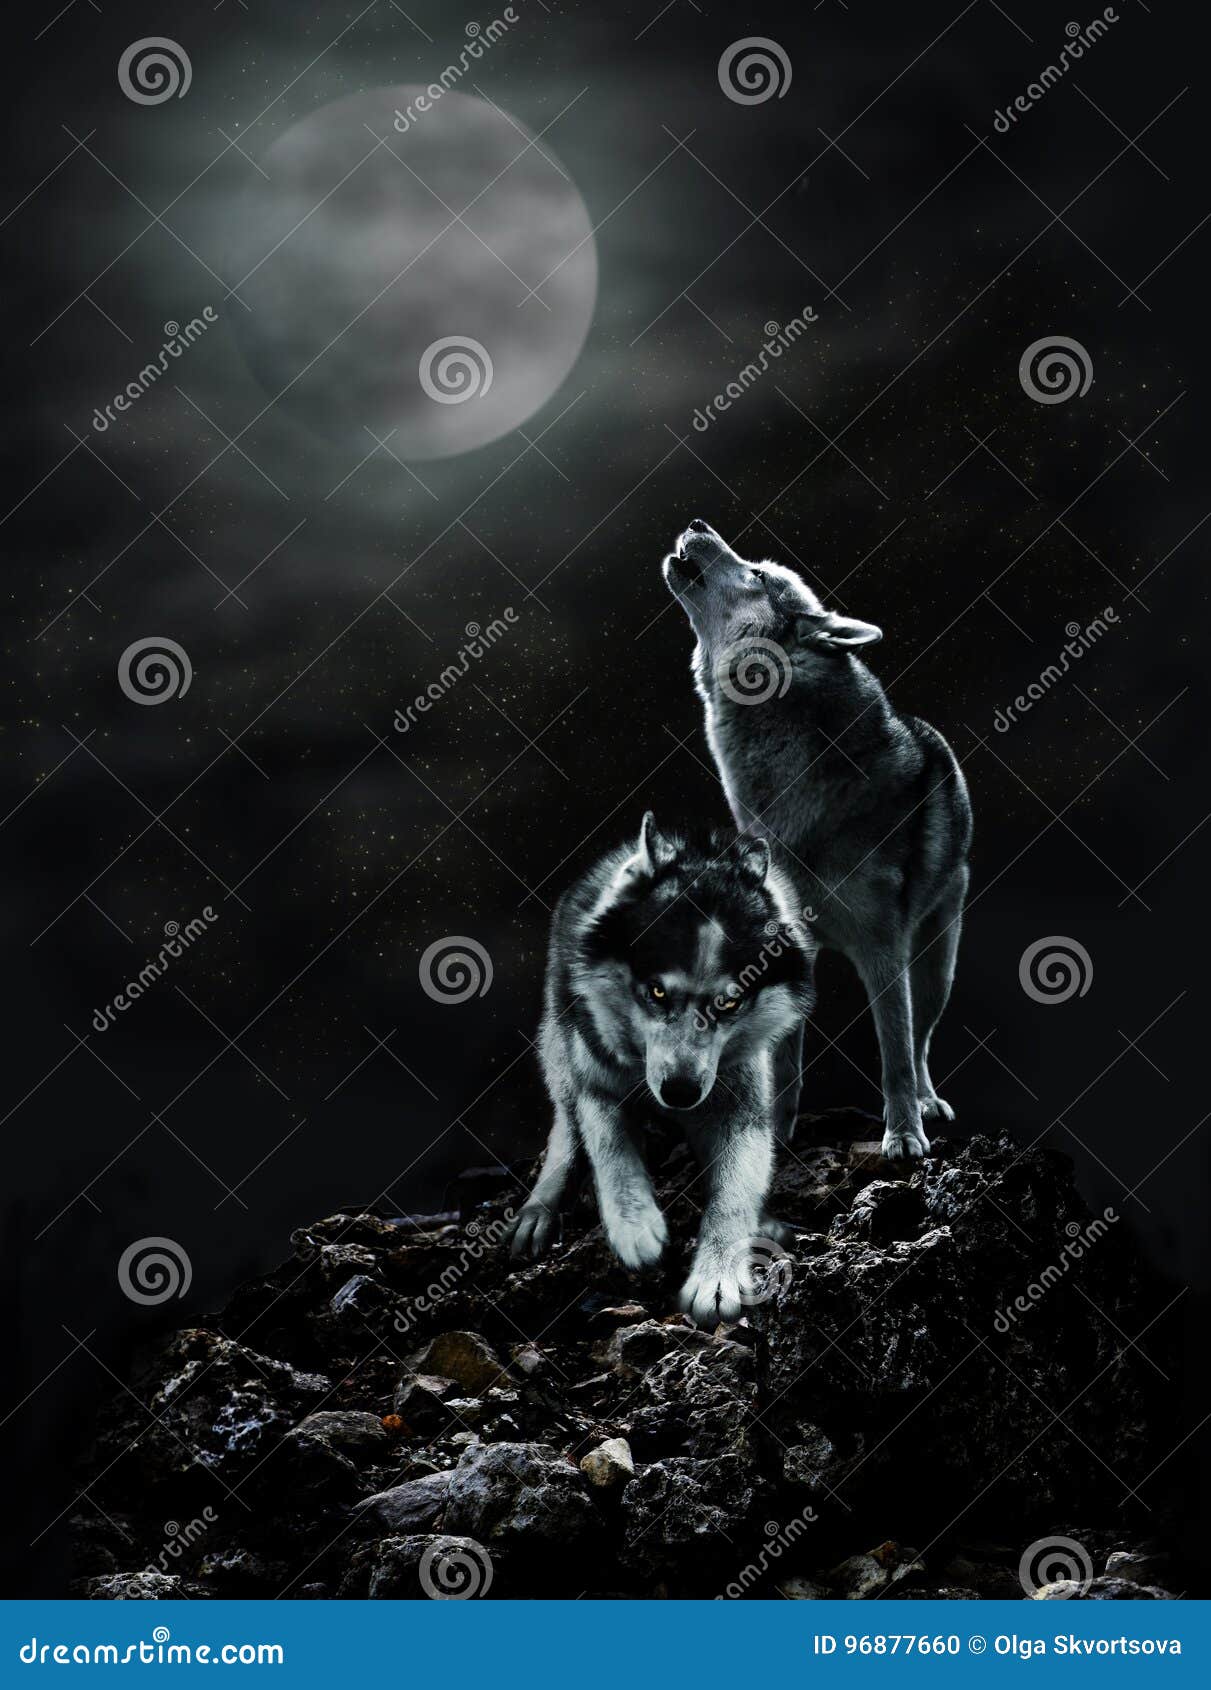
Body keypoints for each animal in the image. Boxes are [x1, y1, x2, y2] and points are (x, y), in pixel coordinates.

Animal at [510, 813, 815, 1325]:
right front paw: (635, 1225)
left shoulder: (742, 1103)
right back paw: (541, 1207)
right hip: (558, 1042)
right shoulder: (596, 1080)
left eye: (729, 1002)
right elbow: (610, 1145)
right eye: (656, 992)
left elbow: (735, 1190)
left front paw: (718, 1275)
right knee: (566, 1125)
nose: (680, 1093)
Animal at [663, 519, 972, 1165]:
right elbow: (786, 1064)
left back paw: (928, 1106)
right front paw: (775, 1140)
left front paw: (903, 1136)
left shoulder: (884, 953)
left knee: (921, 1041)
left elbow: (895, 1056)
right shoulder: (776, 953)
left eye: (758, 574)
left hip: (936, 963)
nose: (699, 524)